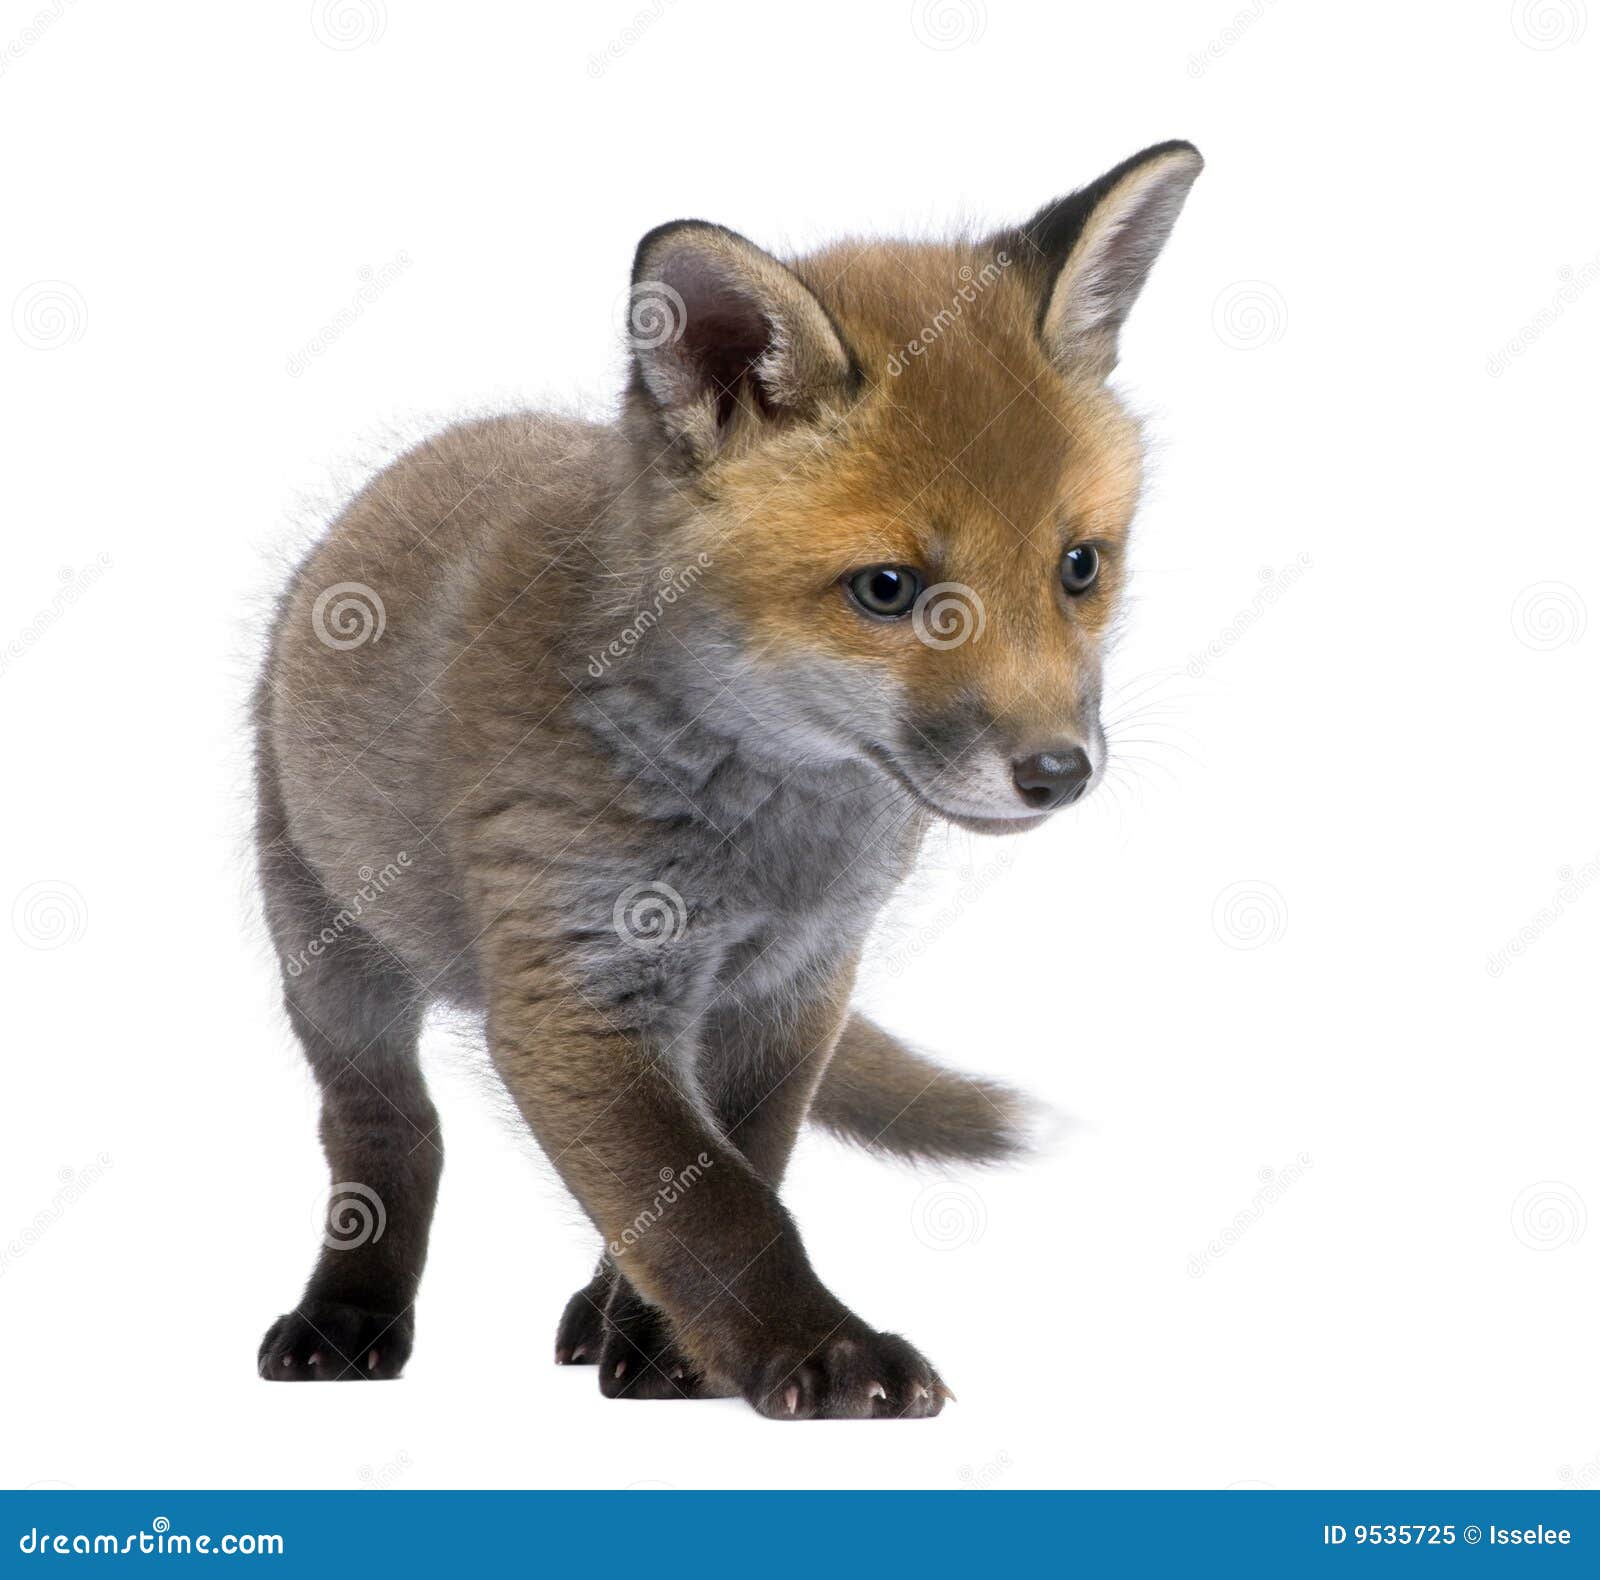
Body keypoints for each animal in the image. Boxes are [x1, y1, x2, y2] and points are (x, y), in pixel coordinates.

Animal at [254, 140, 1203, 1418]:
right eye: (889, 589)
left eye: (1079, 566)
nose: (1057, 769)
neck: (767, 836)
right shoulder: (570, 985)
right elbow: (713, 1206)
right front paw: (823, 1353)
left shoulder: (794, 986)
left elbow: (728, 1171)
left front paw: (665, 1344)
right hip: (328, 947)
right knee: (386, 1134)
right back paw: (349, 1313)